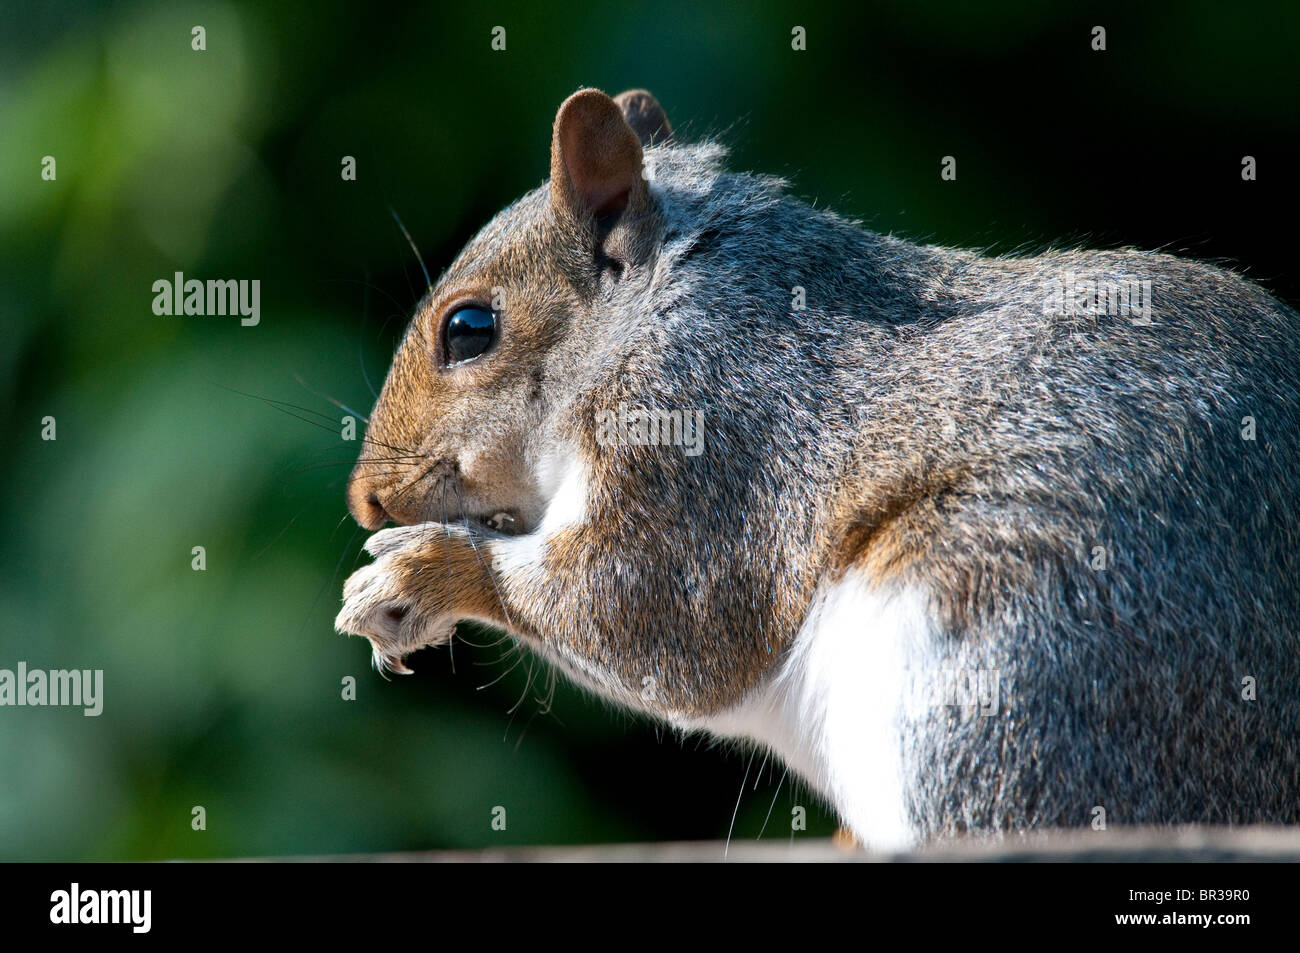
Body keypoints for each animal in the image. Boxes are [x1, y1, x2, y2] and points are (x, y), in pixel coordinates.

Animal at [336, 87, 1300, 850]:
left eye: (470, 328)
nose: (365, 500)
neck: (649, 315)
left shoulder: (708, 435)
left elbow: (653, 619)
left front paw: (423, 572)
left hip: (995, 661)